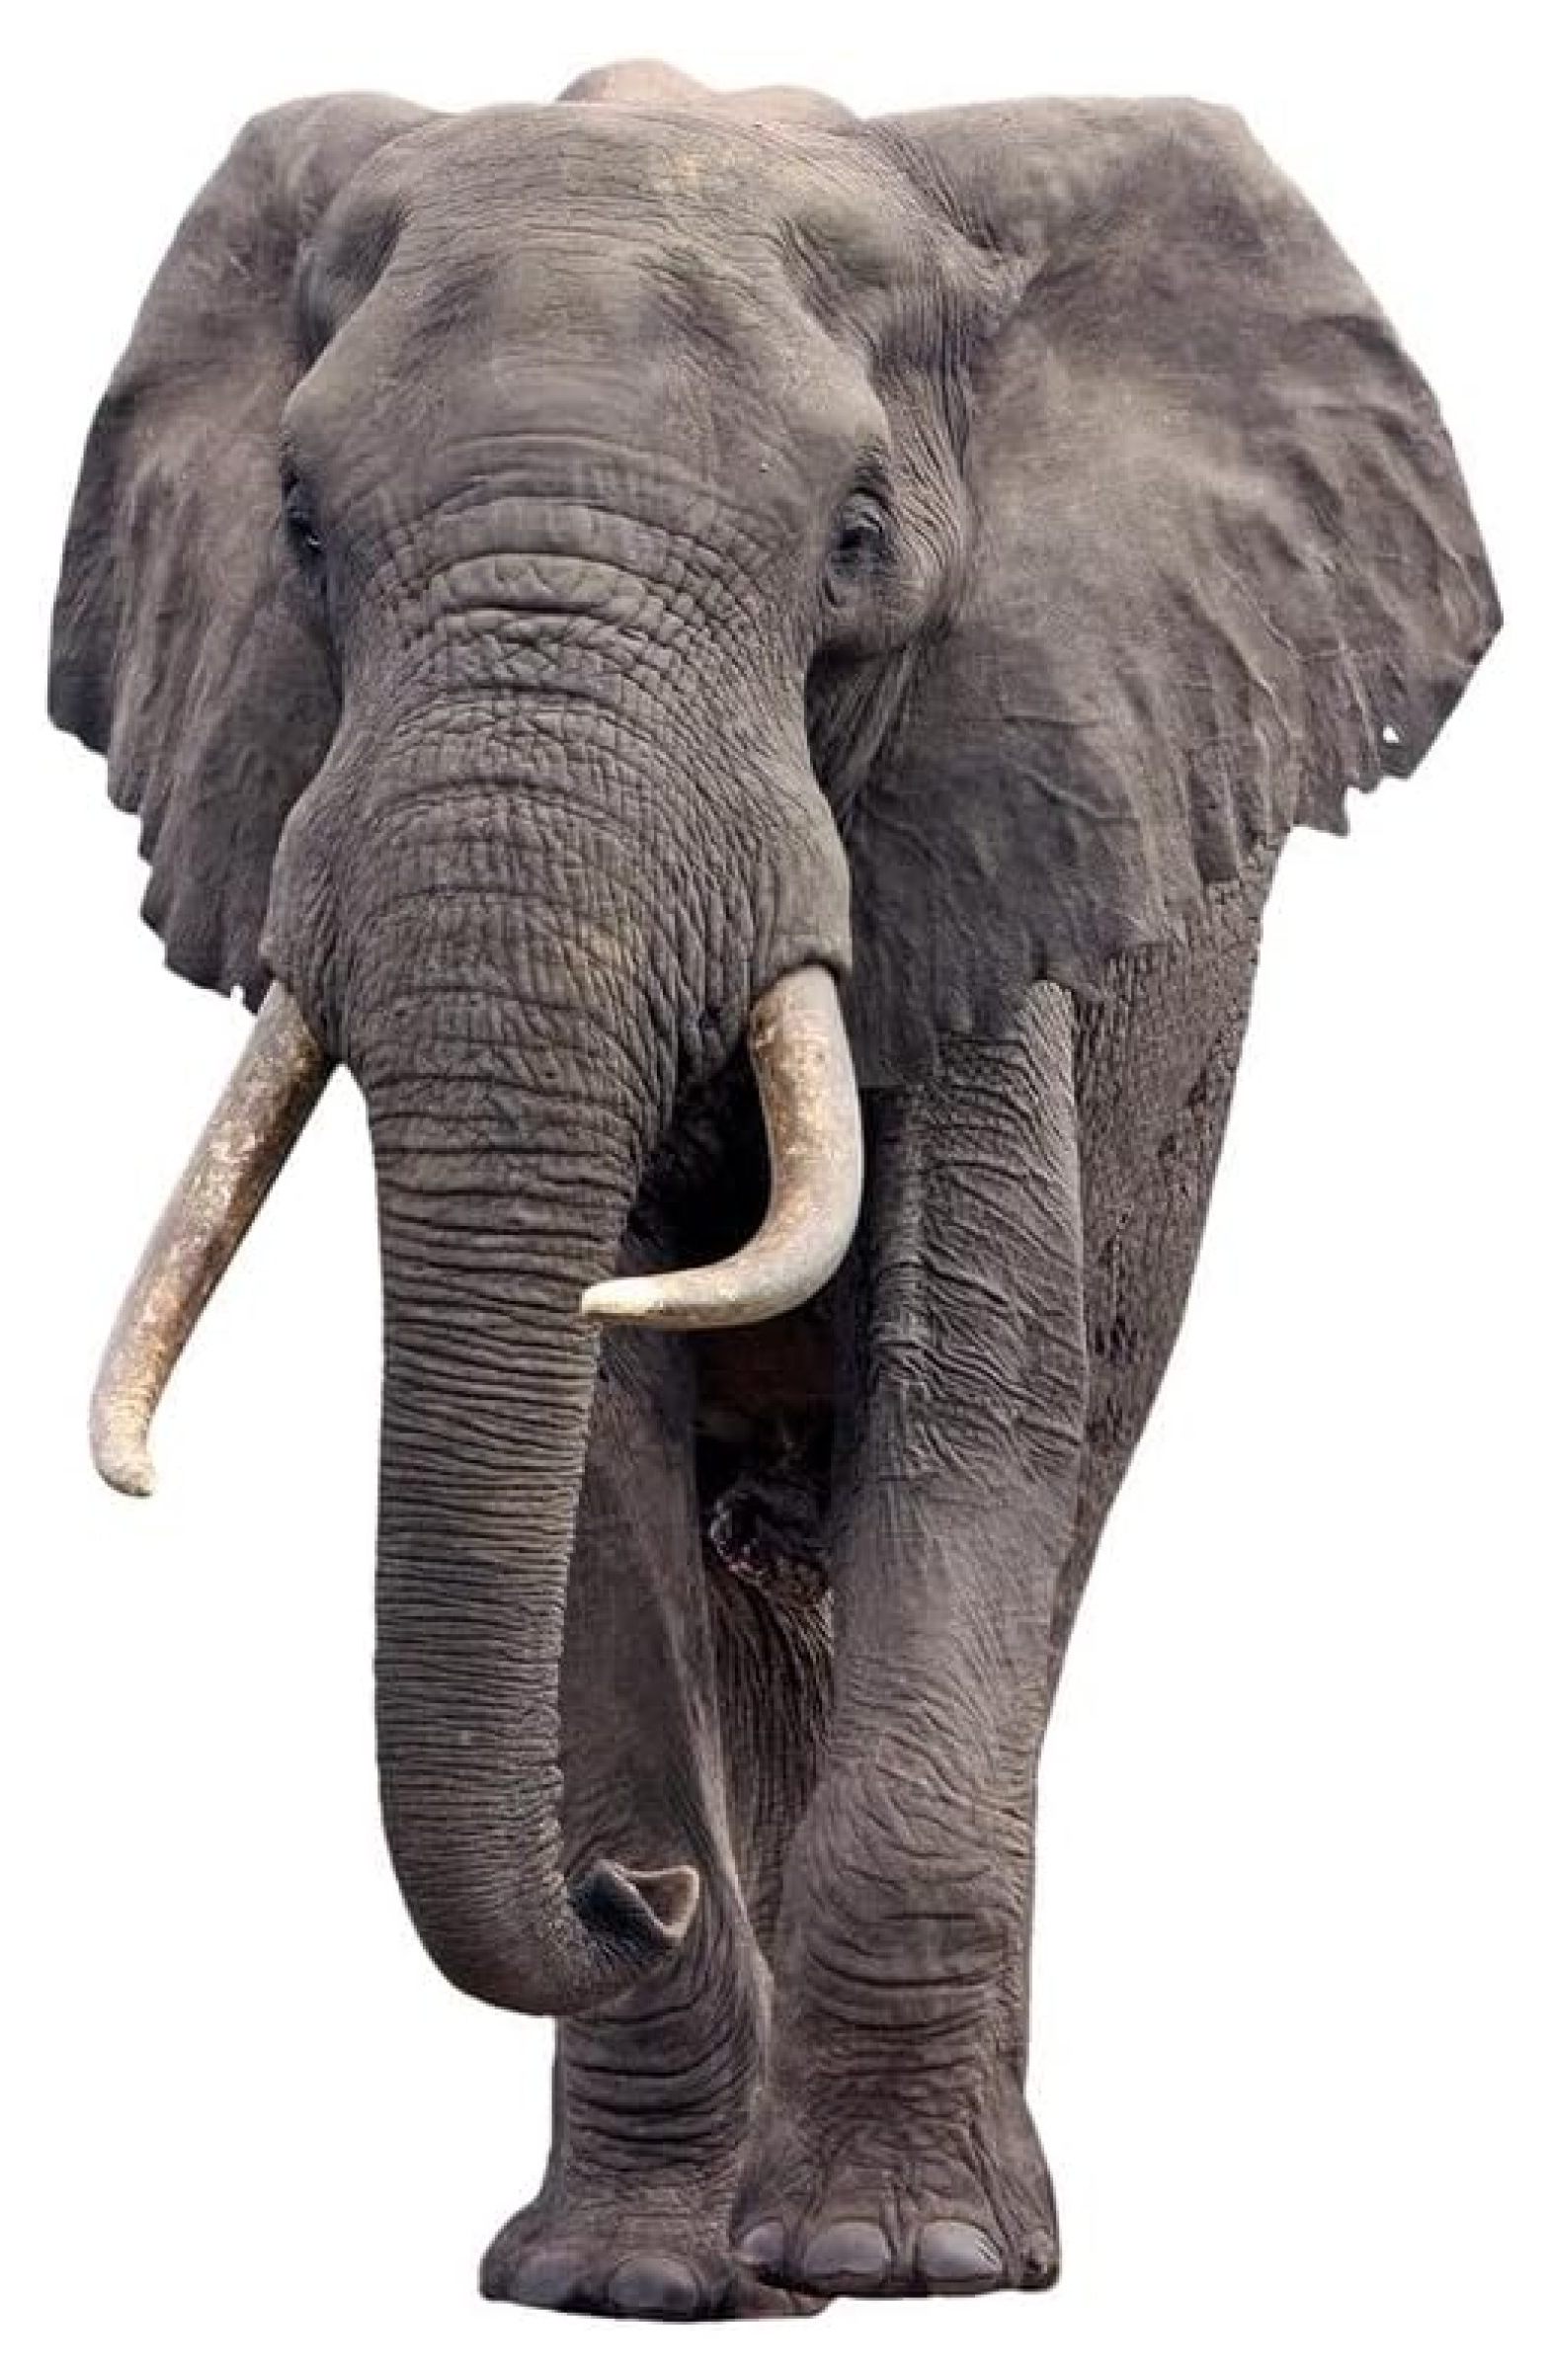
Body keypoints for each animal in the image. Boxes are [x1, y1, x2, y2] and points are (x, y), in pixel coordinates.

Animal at [49, 58, 1497, 2322]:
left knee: (1054, 1488)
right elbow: (595, 1471)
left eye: (854, 544)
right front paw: (634, 2283)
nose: (621, 1887)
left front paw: (915, 2258)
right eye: (297, 530)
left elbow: (966, 1404)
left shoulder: (993, 807)